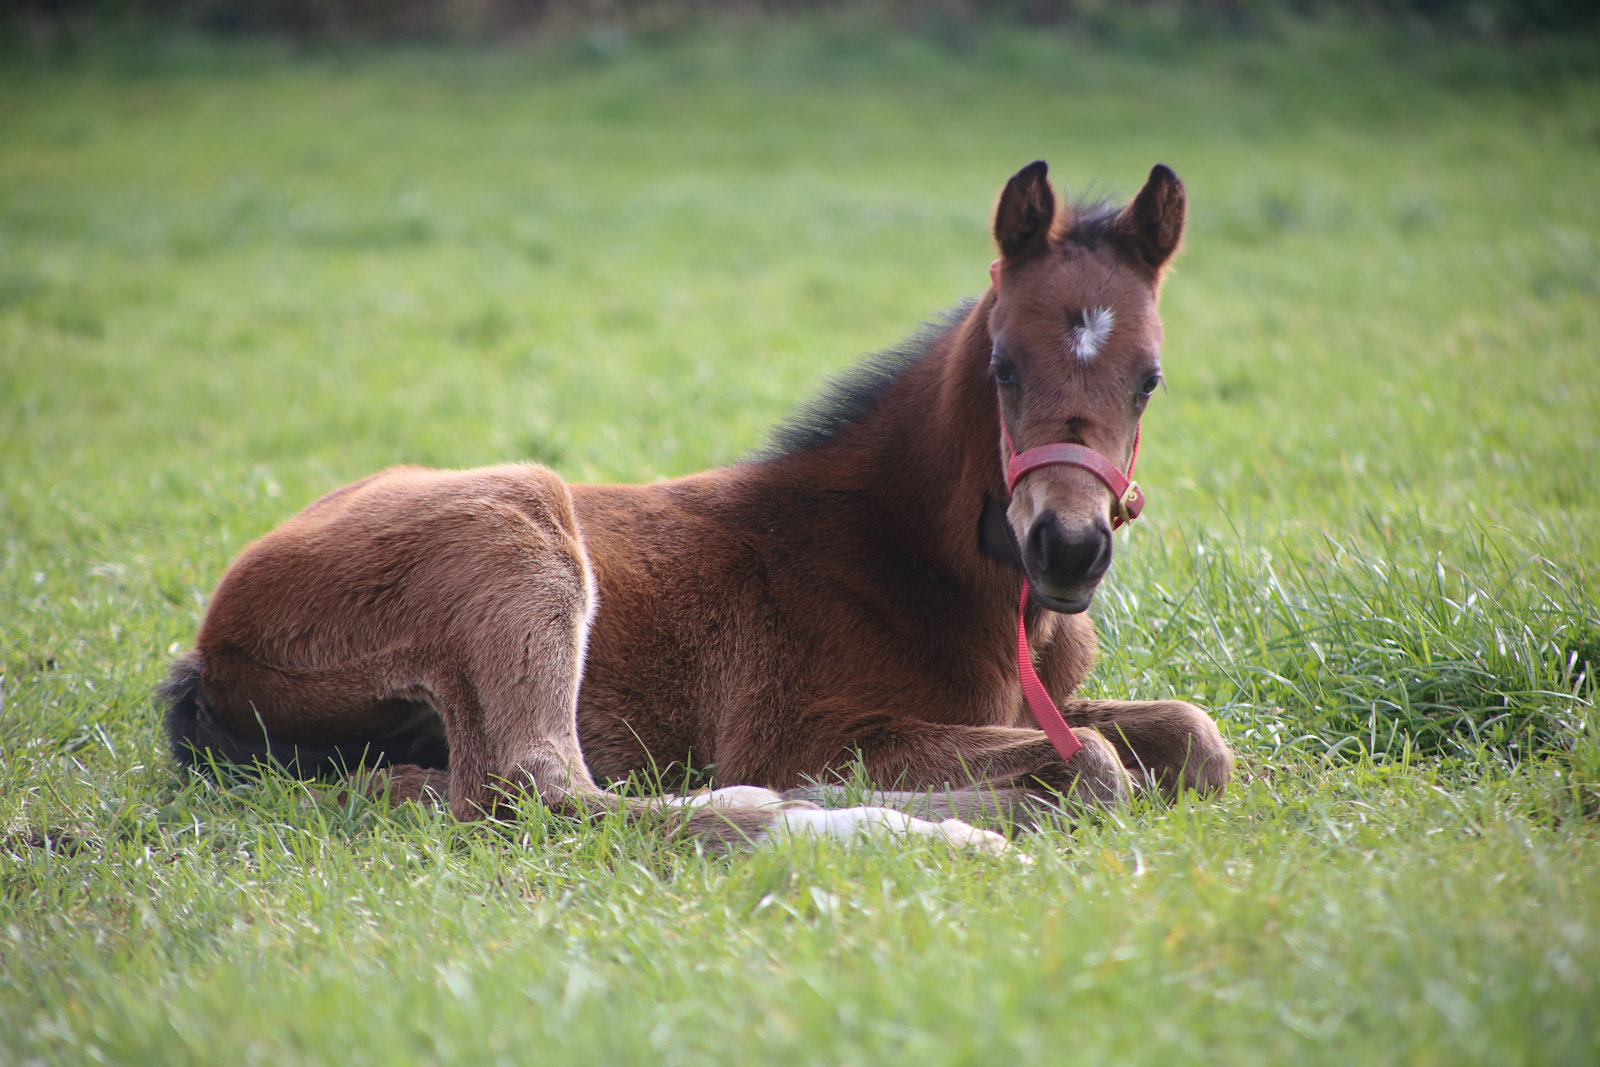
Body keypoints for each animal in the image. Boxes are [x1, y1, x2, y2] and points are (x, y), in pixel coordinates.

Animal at [160, 160, 1233, 852]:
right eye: (1005, 367)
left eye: (1149, 380)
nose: (1068, 547)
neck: (902, 555)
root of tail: (212, 642)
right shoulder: (808, 725)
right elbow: (1095, 765)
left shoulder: (1033, 701)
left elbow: (1193, 737)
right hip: (517, 530)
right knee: (545, 789)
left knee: (453, 789)